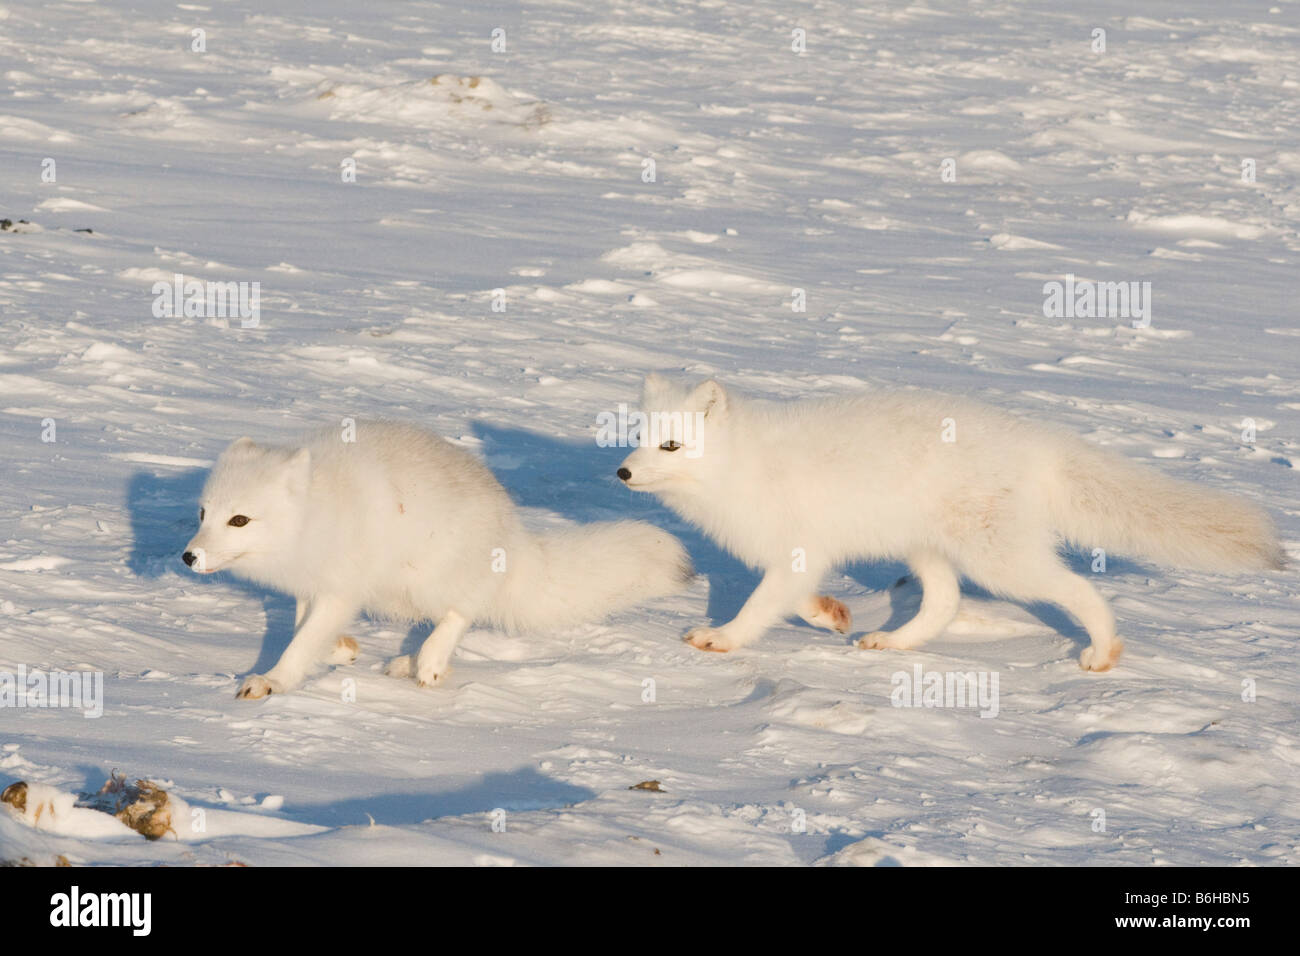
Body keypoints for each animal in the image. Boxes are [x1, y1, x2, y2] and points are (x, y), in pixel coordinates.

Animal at [183, 420, 692, 698]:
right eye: (204, 513)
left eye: (240, 520)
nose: (189, 556)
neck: (319, 511)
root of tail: (512, 533)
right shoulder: (314, 586)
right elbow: (304, 631)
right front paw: (340, 648)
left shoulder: (340, 588)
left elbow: (299, 644)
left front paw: (273, 681)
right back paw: (407, 662)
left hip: (425, 575)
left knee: (464, 610)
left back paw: (426, 663)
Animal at [616, 374, 1285, 671]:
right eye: (640, 438)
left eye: (672, 445)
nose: (621, 473)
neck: (744, 467)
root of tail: (1037, 443)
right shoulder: (802, 554)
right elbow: (798, 598)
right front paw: (833, 616)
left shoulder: (798, 547)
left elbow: (760, 604)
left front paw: (722, 639)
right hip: (928, 549)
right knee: (944, 604)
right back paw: (892, 642)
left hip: (999, 559)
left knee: (1076, 589)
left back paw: (1101, 652)